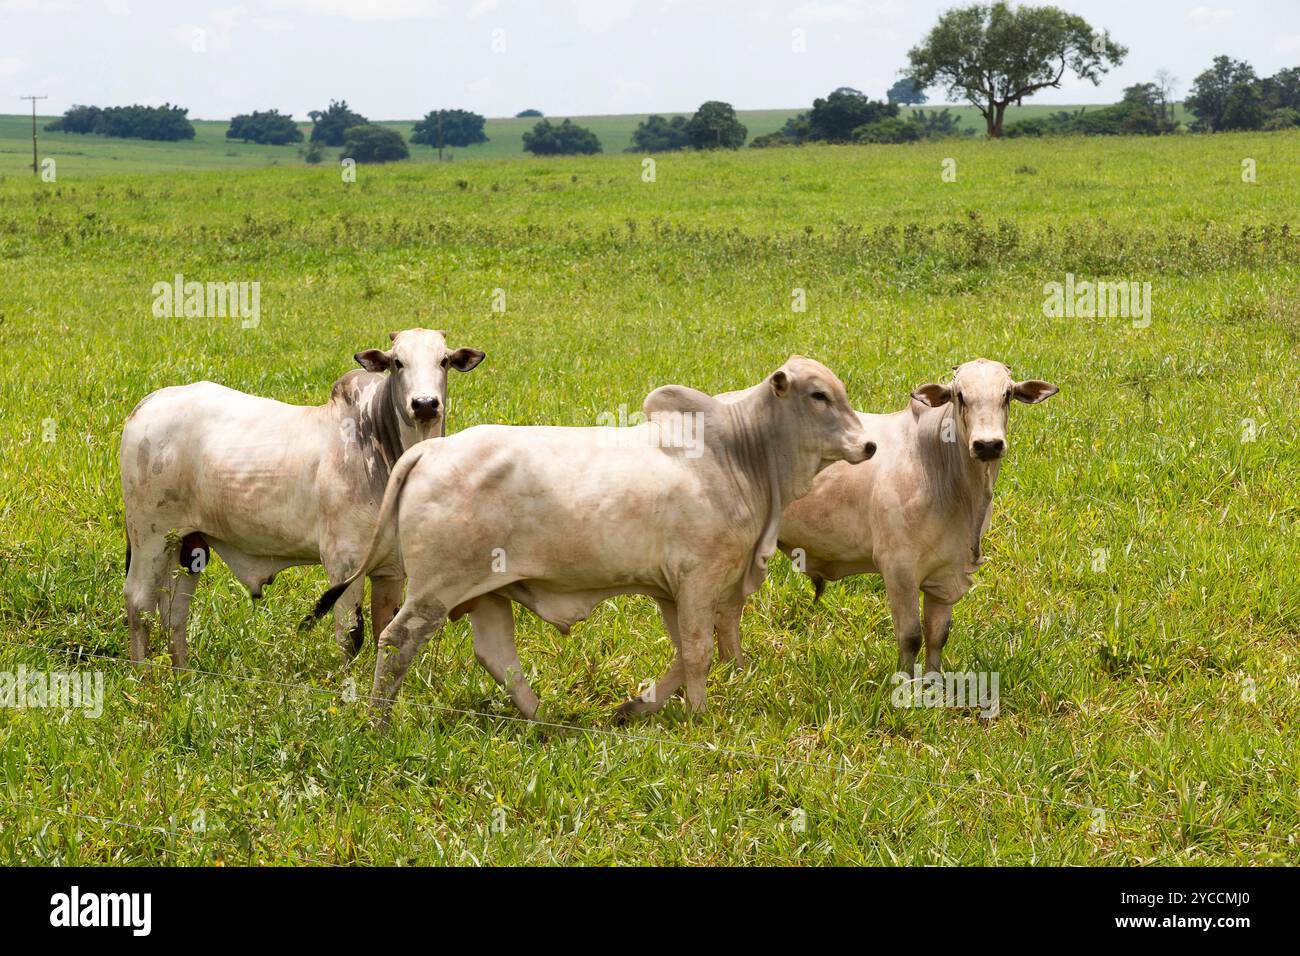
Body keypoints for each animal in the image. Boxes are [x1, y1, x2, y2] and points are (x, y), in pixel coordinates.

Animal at [120, 328, 485, 668]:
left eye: (444, 360)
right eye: (397, 362)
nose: (425, 404)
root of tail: (150, 402)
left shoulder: (391, 571)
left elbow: (386, 634)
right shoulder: (344, 564)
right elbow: (351, 636)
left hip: (187, 544)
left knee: (174, 610)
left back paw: (182, 675)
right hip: (150, 537)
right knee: (138, 601)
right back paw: (143, 677)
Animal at [303, 356, 876, 723]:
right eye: (819, 395)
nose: (869, 445)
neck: (740, 454)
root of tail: (431, 451)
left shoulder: (673, 590)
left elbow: (686, 652)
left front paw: (637, 706)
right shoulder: (698, 580)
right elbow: (698, 652)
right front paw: (700, 716)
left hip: (485, 591)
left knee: (496, 655)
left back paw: (543, 719)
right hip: (434, 590)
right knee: (397, 640)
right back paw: (378, 720)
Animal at [716, 358, 1057, 676]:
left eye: (1007, 395)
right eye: (960, 396)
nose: (988, 445)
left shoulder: (946, 573)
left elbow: (937, 635)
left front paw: (934, 682)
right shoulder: (898, 567)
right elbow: (911, 636)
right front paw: (906, 683)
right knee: (728, 611)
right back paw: (735, 669)